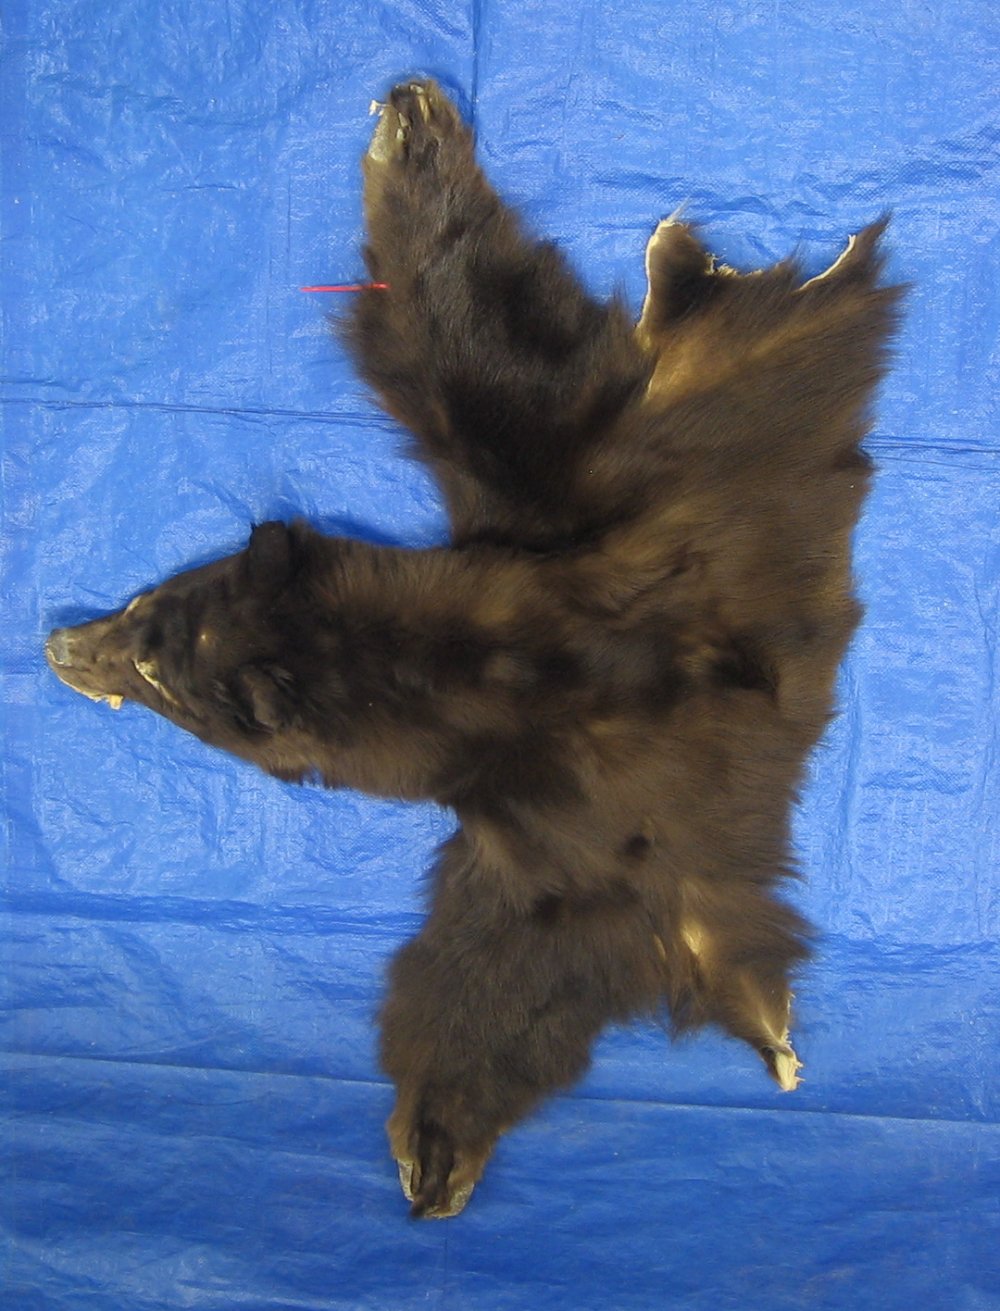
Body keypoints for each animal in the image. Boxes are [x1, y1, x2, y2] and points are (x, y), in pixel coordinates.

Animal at [46, 80, 901, 1218]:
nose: (57, 641)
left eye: (148, 656)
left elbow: (524, 951)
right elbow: (482, 364)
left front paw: (433, 1148)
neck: (493, 668)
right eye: (143, 603)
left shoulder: (591, 826)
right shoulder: (555, 491)